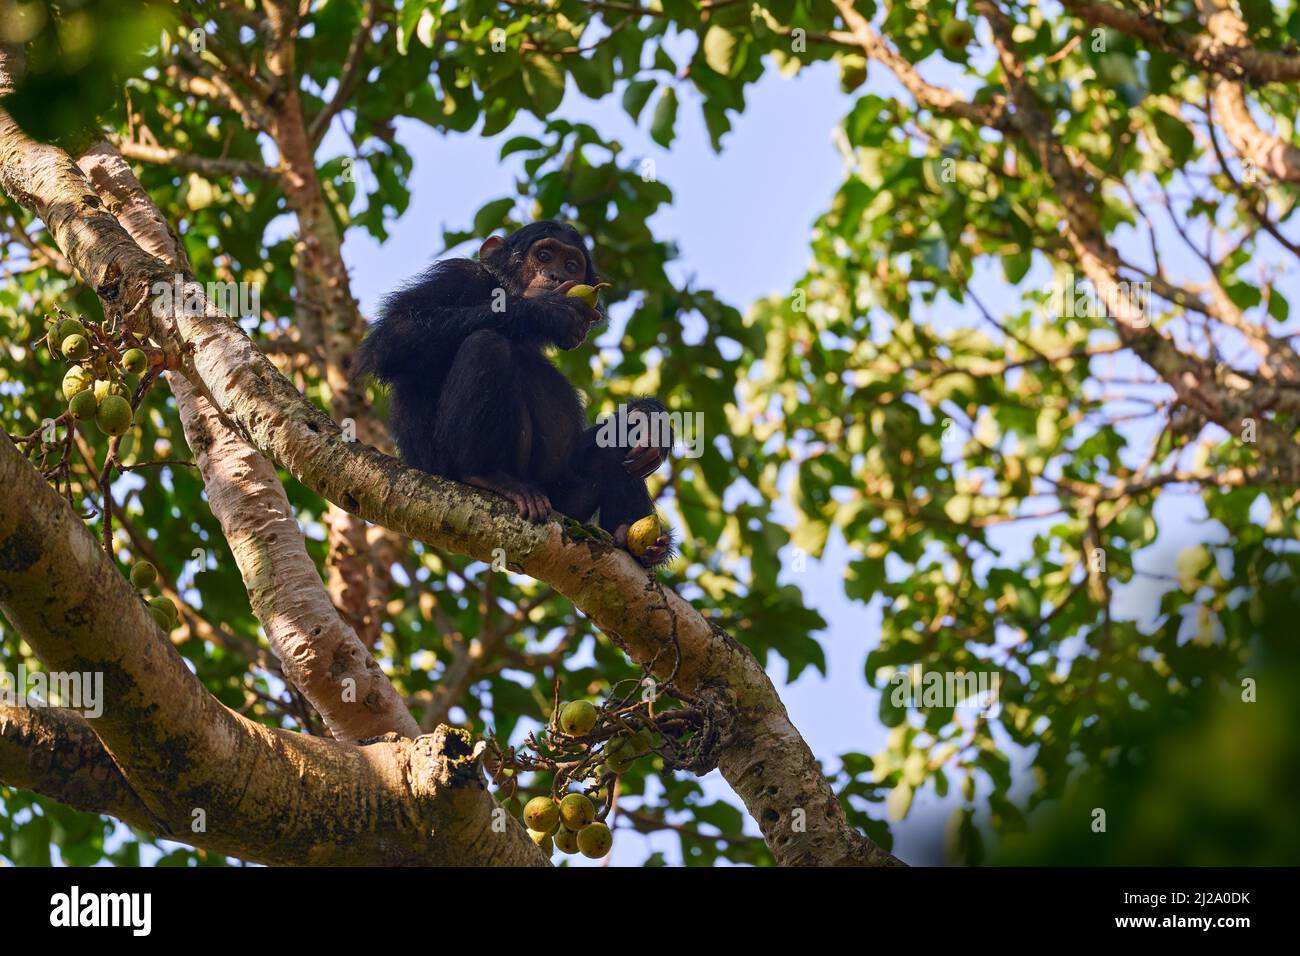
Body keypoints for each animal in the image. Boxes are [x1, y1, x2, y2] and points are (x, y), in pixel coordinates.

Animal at [355, 220, 673, 566]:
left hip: (568, 501)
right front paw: (547, 310)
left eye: (571, 265)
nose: (556, 276)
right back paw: (488, 476)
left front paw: (651, 419)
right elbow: (395, 336)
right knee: (486, 343)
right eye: (544, 255)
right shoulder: (457, 275)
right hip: (442, 470)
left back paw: (635, 541)